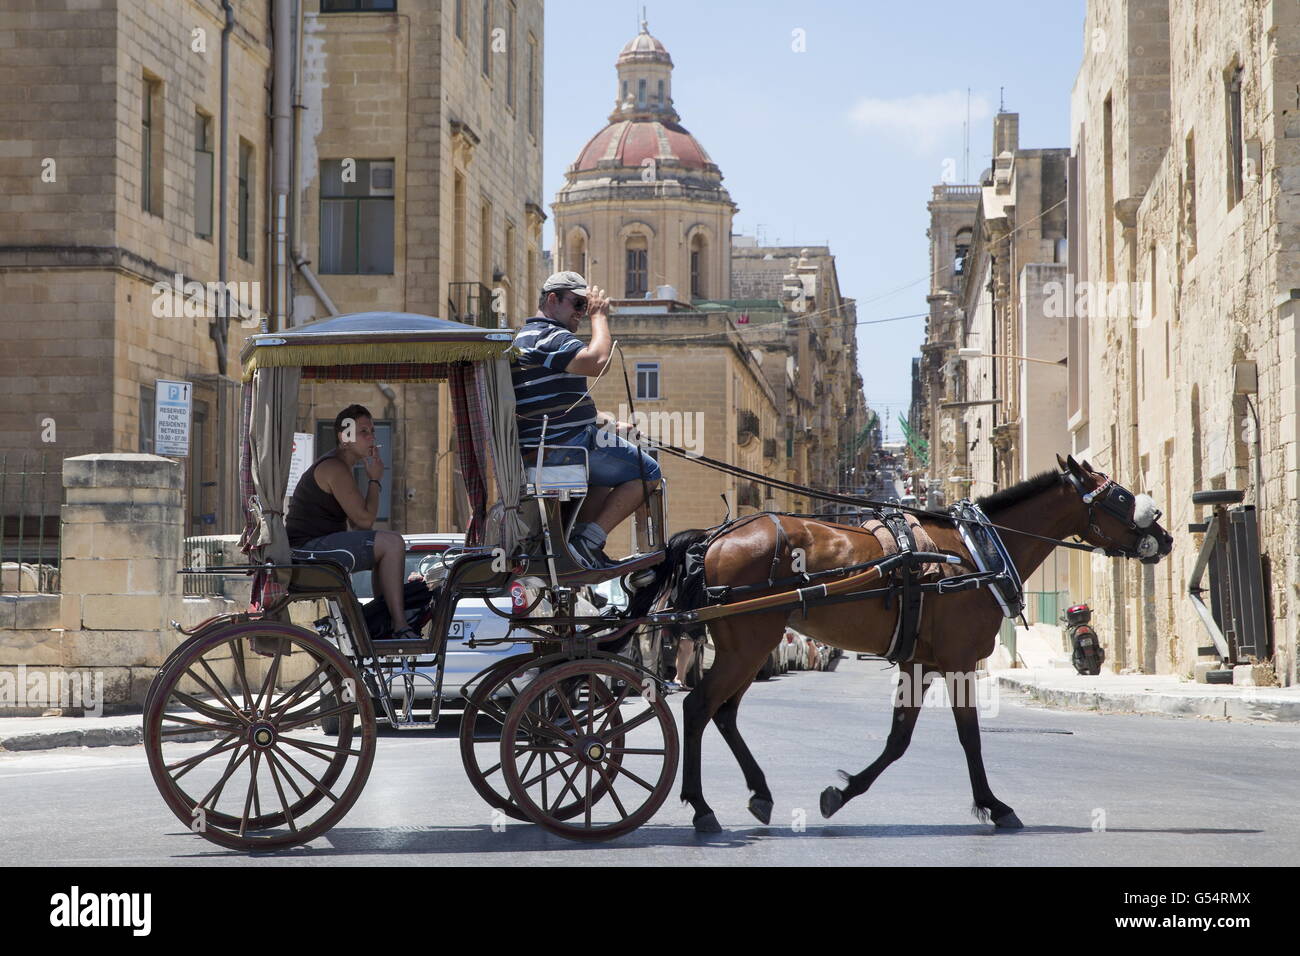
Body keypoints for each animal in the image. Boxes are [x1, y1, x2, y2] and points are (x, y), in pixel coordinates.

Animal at [629, 455, 1174, 833]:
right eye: (1121, 498)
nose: (1166, 539)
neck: (974, 552)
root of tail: (716, 537)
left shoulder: (919, 664)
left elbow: (897, 740)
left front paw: (842, 793)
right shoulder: (958, 661)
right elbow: (970, 736)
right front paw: (995, 806)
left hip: (751, 646)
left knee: (722, 713)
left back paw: (758, 793)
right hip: (749, 645)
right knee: (699, 707)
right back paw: (702, 808)